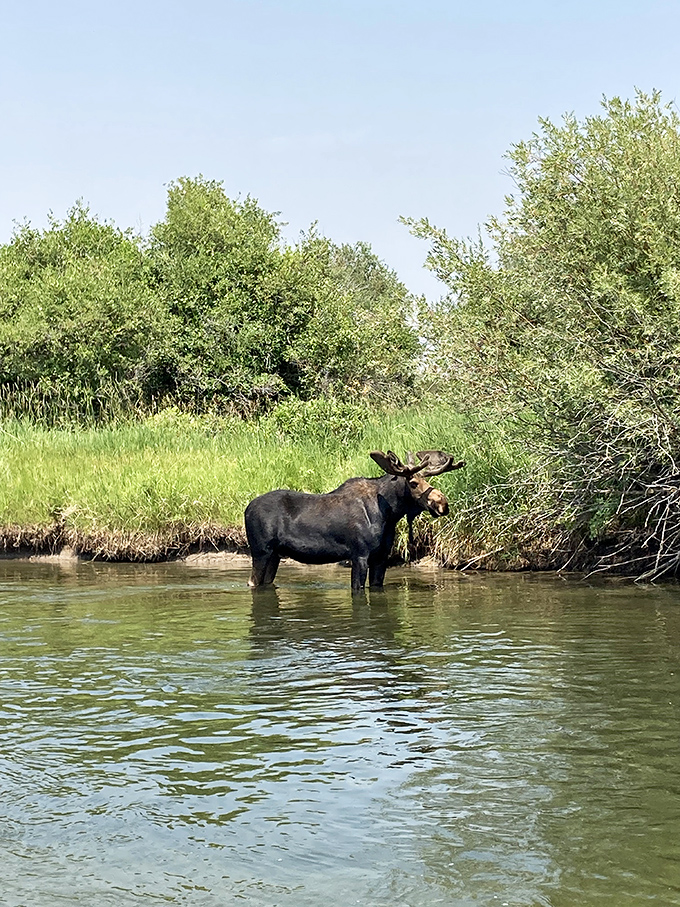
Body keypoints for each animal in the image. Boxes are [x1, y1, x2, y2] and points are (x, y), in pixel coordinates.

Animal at [244, 449, 465, 594]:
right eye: (413, 483)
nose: (443, 503)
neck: (390, 514)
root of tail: (246, 510)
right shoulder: (359, 554)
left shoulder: (381, 556)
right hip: (261, 551)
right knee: (252, 582)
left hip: (275, 554)